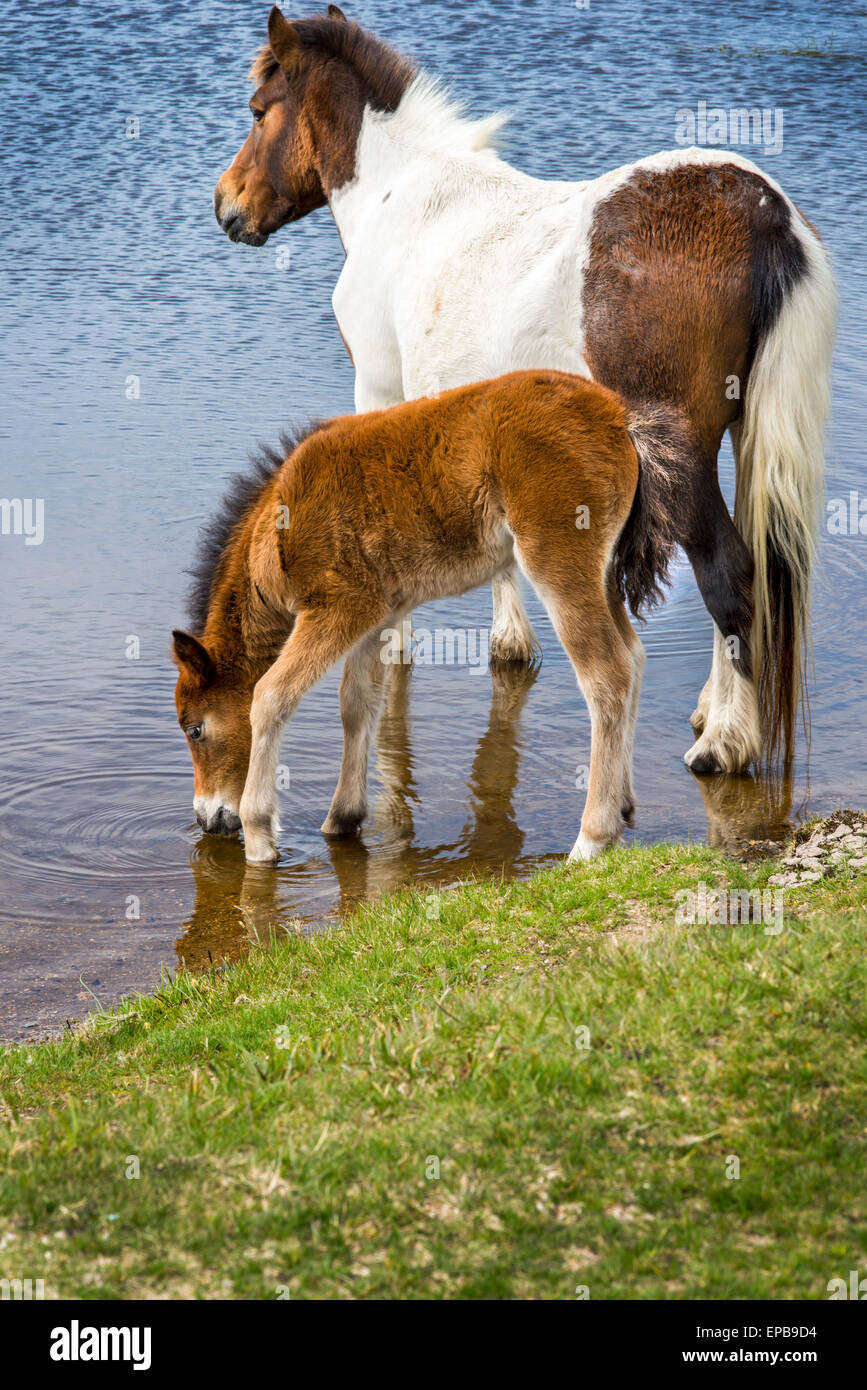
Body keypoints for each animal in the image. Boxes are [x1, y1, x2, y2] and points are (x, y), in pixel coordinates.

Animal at [171, 370, 685, 864]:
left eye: (195, 729)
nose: (208, 820)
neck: (278, 529)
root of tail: (619, 418)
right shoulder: (378, 615)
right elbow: (356, 704)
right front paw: (341, 819)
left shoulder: (338, 607)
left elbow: (270, 697)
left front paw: (260, 839)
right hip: (603, 572)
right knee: (634, 657)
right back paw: (623, 805)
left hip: (559, 562)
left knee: (607, 675)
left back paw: (591, 840)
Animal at [213, 5, 837, 778]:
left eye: (257, 109)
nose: (226, 205)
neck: (403, 194)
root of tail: (766, 218)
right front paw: (510, 644)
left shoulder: (379, 391)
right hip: (743, 434)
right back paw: (714, 713)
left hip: (682, 453)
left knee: (730, 574)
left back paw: (724, 741)